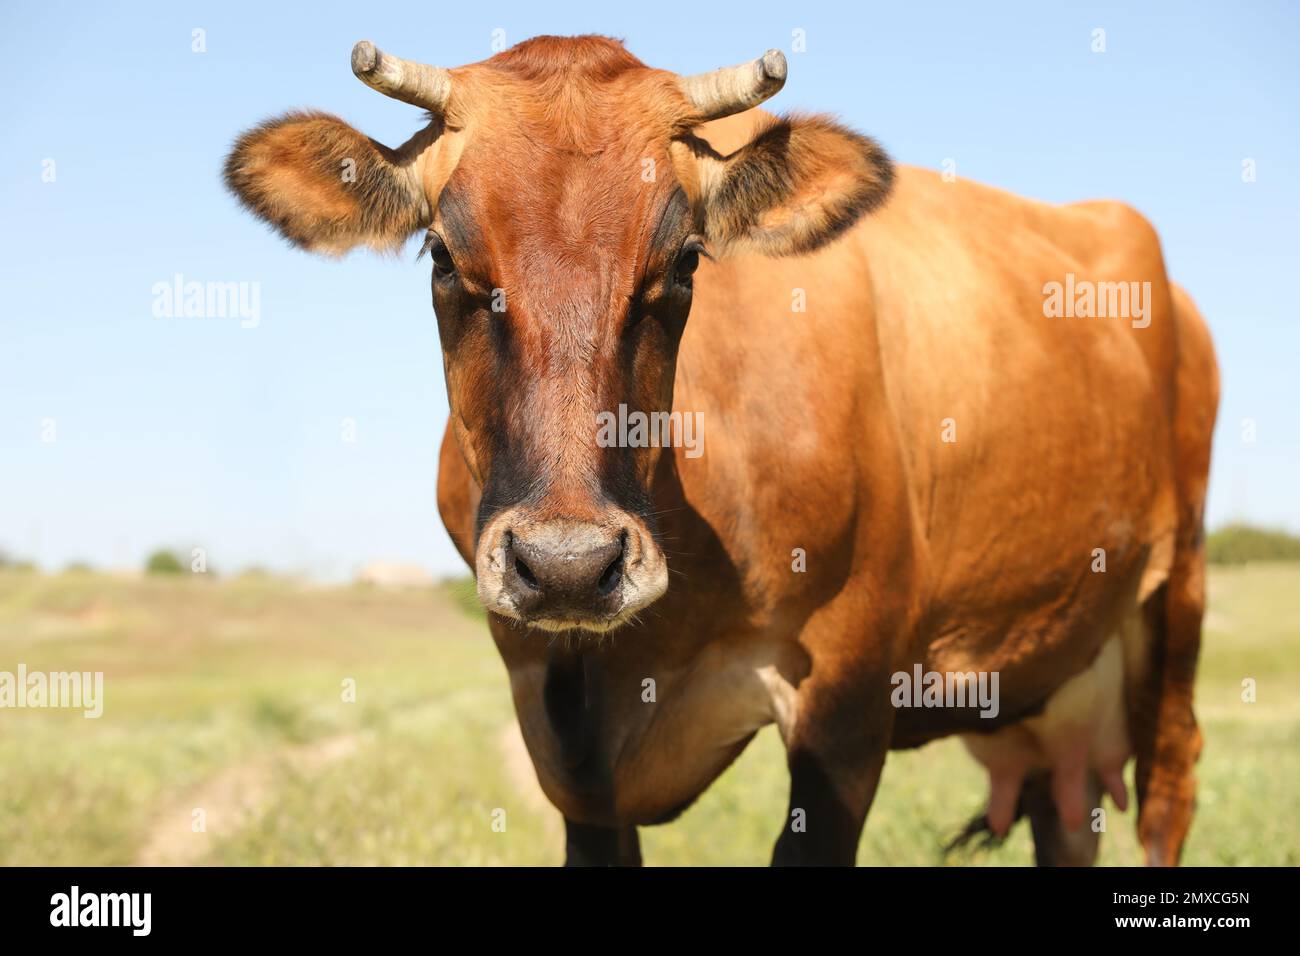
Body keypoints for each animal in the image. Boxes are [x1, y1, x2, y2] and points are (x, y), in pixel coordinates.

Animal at [224, 34, 1219, 866]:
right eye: (440, 255)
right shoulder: (559, 732)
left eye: (685, 260)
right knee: (1066, 811)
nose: (569, 564)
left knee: (1171, 786)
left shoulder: (846, 699)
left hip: (1178, 590)